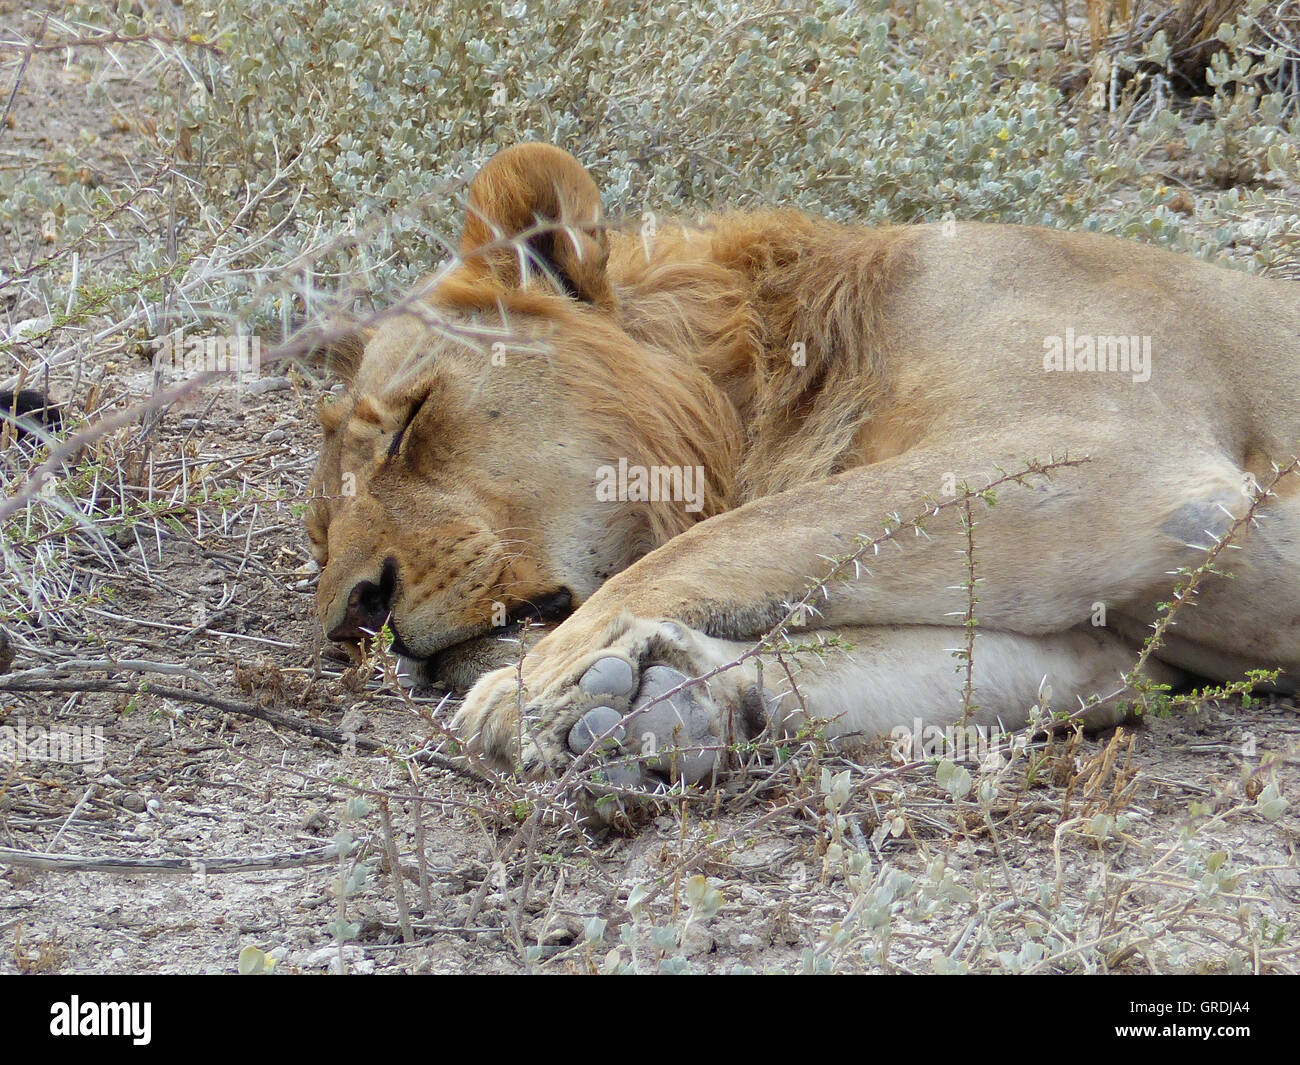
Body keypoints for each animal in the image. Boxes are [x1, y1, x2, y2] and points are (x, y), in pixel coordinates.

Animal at [309, 142, 1300, 801]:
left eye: (408, 425)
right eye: (320, 535)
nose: (354, 615)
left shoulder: (1127, 454)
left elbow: (725, 540)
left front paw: (525, 694)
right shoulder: (1122, 643)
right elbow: (906, 660)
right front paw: (661, 703)